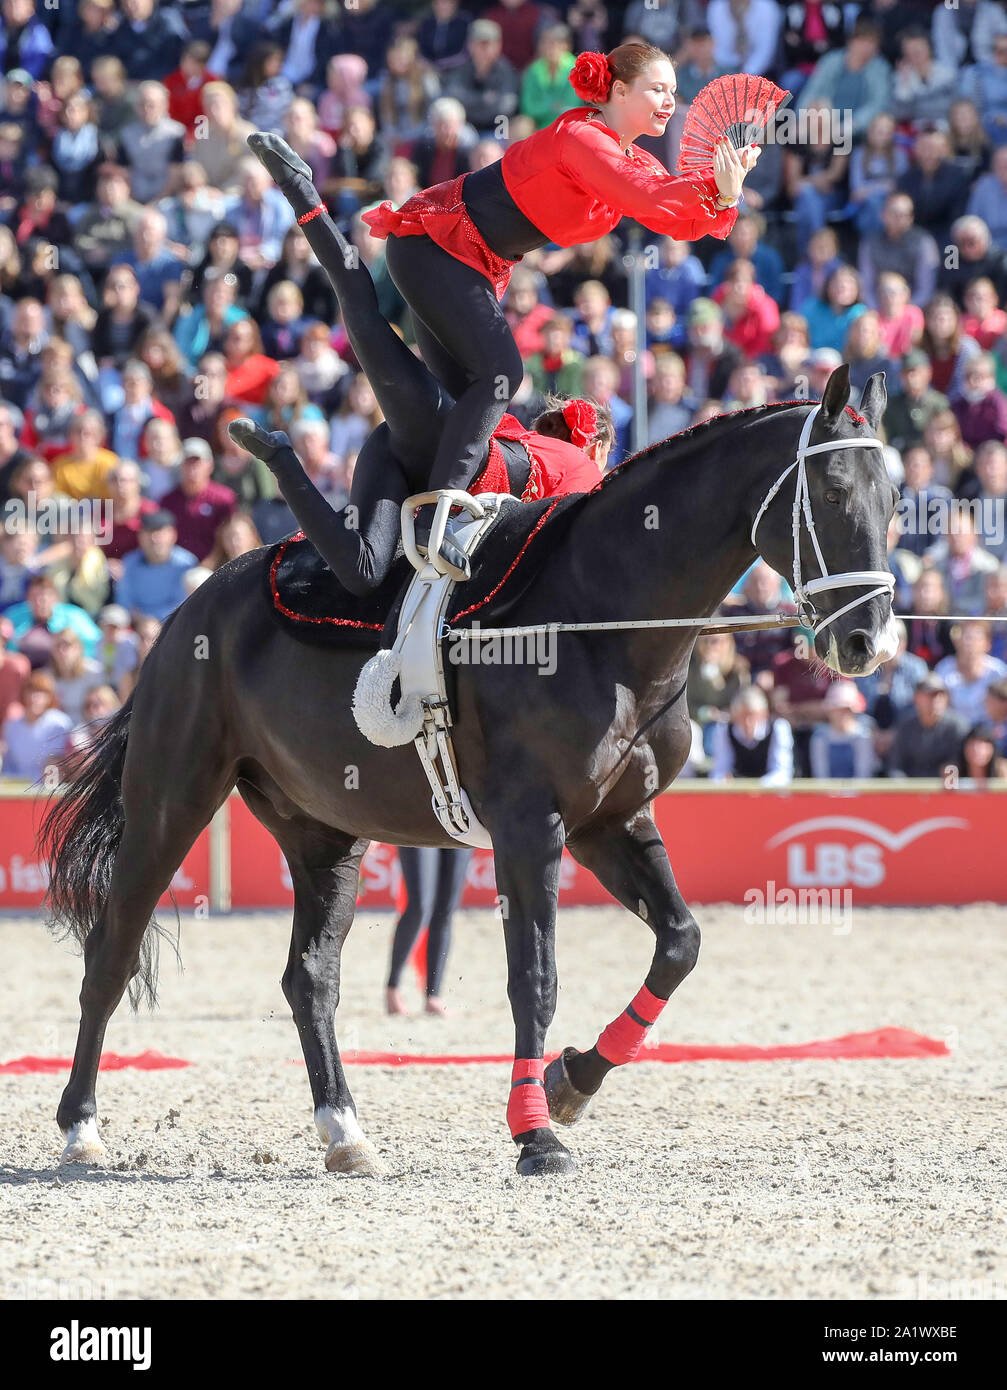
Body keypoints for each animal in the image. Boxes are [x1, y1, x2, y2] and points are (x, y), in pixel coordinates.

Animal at [41, 366, 899, 1178]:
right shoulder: (532, 828)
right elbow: (534, 978)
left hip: (324, 833)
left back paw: (345, 1131)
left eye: (894, 500)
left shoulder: (610, 824)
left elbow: (680, 943)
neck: (602, 618)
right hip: (171, 801)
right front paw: (535, 1134)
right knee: (111, 954)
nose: (867, 640)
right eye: (830, 490)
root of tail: (193, 606)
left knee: (309, 978)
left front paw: (572, 1081)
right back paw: (81, 1128)